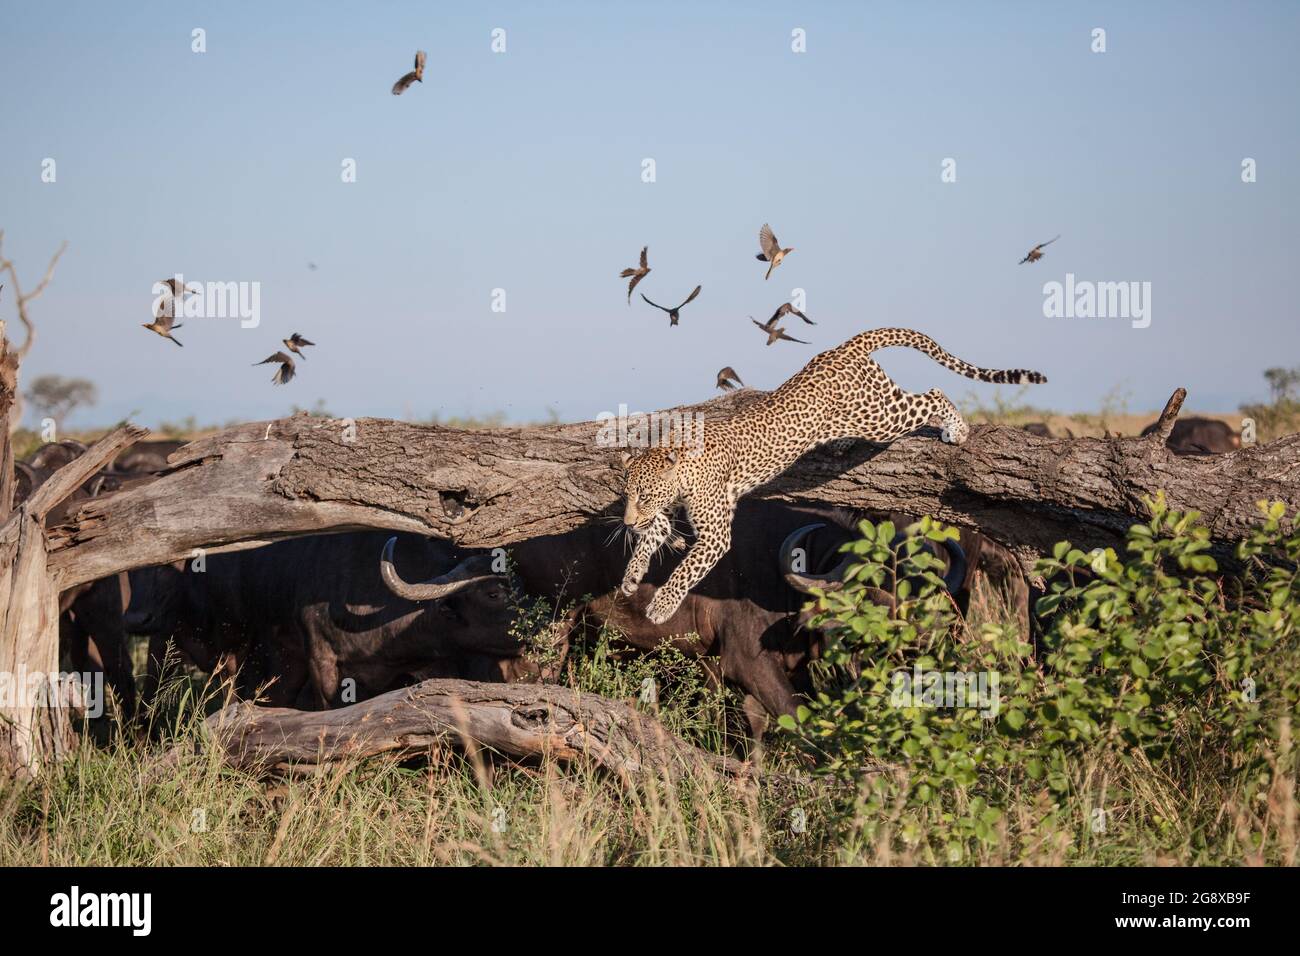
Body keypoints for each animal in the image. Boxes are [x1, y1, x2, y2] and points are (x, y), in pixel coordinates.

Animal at [619, 327, 1046, 624]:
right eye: (630, 495)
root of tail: (845, 347)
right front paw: (631, 575)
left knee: (933, 394)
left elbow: (685, 570)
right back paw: (842, 443)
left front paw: (661, 606)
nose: (627, 522)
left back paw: (956, 430)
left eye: (644, 493)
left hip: (879, 415)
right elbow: (652, 537)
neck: (682, 472)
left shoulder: (715, 533)